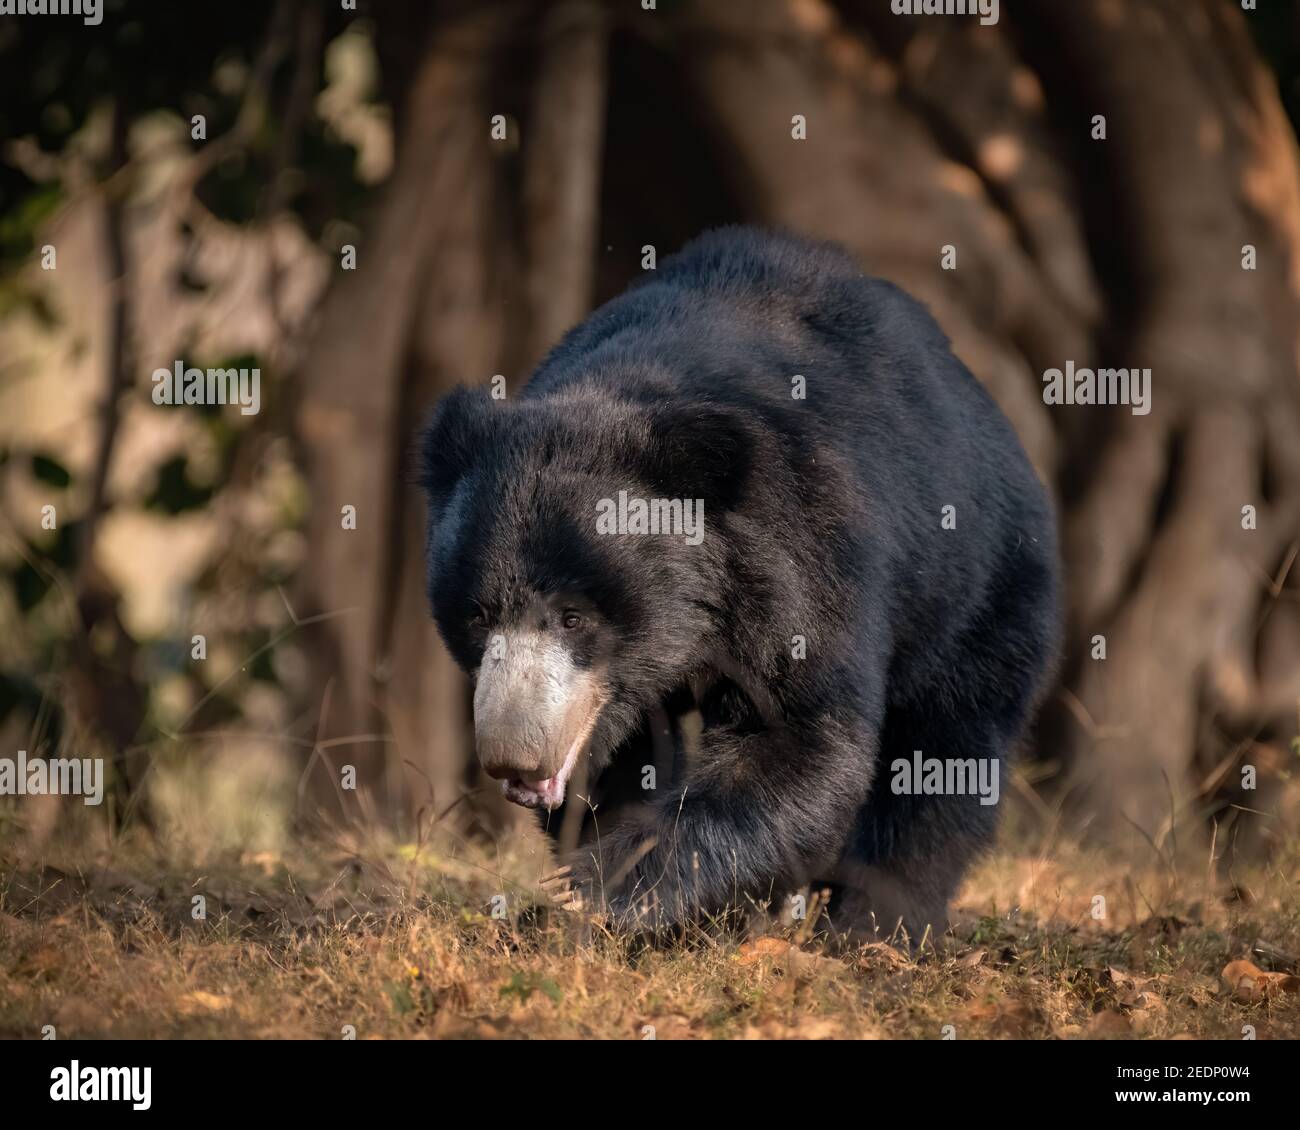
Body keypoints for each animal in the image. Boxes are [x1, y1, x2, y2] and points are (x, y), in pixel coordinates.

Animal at [419, 226, 1060, 943]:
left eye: (573, 616)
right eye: (478, 616)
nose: (516, 759)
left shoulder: (805, 551)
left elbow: (798, 734)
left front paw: (600, 887)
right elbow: (623, 759)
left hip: (980, 589)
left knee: (945, 750)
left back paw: (877, 924)